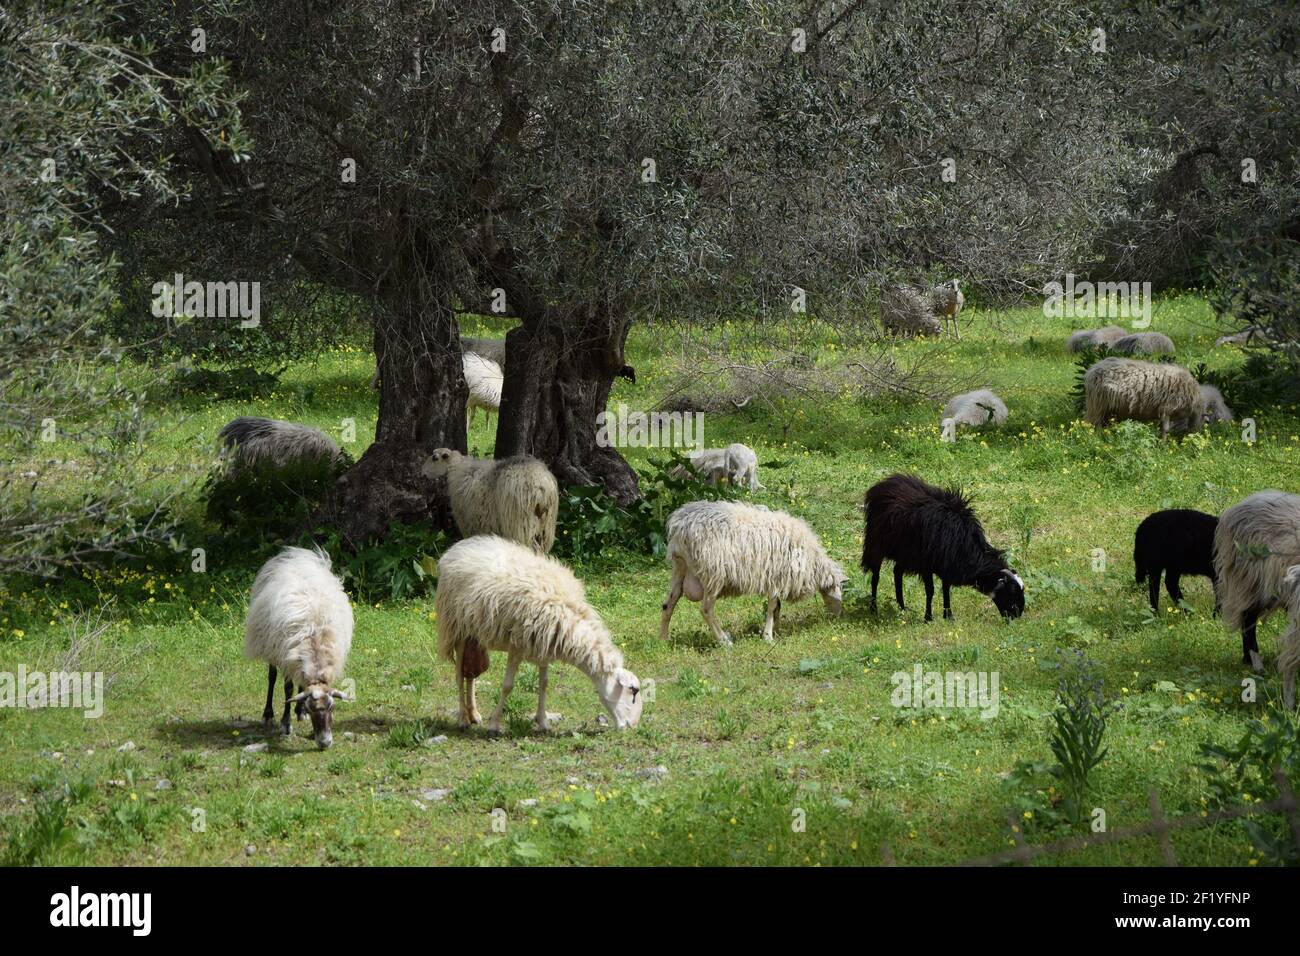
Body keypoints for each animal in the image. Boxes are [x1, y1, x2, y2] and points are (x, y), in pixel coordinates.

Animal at [243, 547, 353, 748]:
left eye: (332, 706)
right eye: (312, 708)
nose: (325, 742)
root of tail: (295, 554)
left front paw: (300, 710)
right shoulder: (285, 656)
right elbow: (287, 689)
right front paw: (286, 723)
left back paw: (298, 710)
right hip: (272, 647)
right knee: (272, 678)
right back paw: (268, 714)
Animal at [423, 449, 558, 553]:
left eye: (435, 458)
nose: (422, 473)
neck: (457, 467)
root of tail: (541, 488)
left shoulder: (465, 522)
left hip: (520, 526)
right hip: (546, 528)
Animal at [434, 535, 643, 731]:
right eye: (633, 691)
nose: (633, 726)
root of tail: (457, 547)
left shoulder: (544, 647)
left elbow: (544, 684)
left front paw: (542, 721)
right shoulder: (517, 646)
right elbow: (507, 686)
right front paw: (494, 724)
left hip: (474, 634)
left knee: (470, 674)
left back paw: (474, 714)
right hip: (457, 627)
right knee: (459, 675)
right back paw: (463, 719)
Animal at [660, 500, 846, 647]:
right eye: (839, 591)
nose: (838, 617)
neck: (812, 561)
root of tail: (678, 524)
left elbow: (777, 607)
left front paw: (776, 630)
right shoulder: (776, 578)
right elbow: (772, 606)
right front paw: (768, 636)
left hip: (680, 568)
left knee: (668, 605)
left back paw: (663, 640)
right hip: (713, 573)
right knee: (706, 610)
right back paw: (724, 640)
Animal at [861, 473, 1025, 622]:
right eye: (1011, 591)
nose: (1017, 616)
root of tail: (883, 484)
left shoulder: (947, 564)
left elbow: (946, 589)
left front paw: (948, 616)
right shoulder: (927, 565)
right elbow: (930, 591)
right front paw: (928, 618)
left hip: (906, 552)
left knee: (897, 572)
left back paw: (902, 607)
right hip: (876, 544)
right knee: (875, 577)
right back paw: (873, 609)